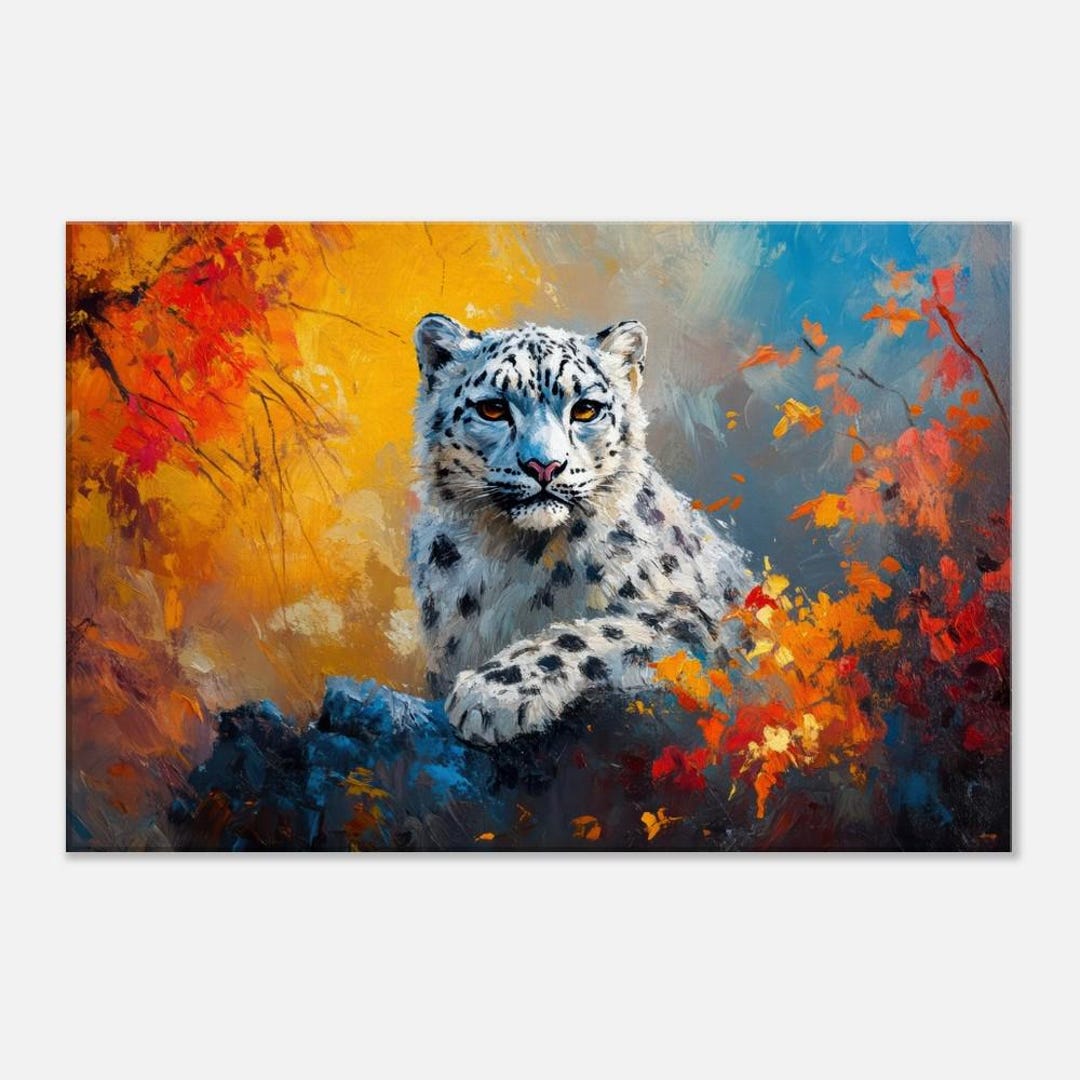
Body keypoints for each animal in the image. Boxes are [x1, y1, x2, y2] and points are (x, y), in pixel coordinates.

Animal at [408, 313, 747, 745]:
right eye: (492, 409)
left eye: (586, 409)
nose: (544, 466)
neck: (516, 558)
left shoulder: (702, 620)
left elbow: (591, 632)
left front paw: (491, 692)